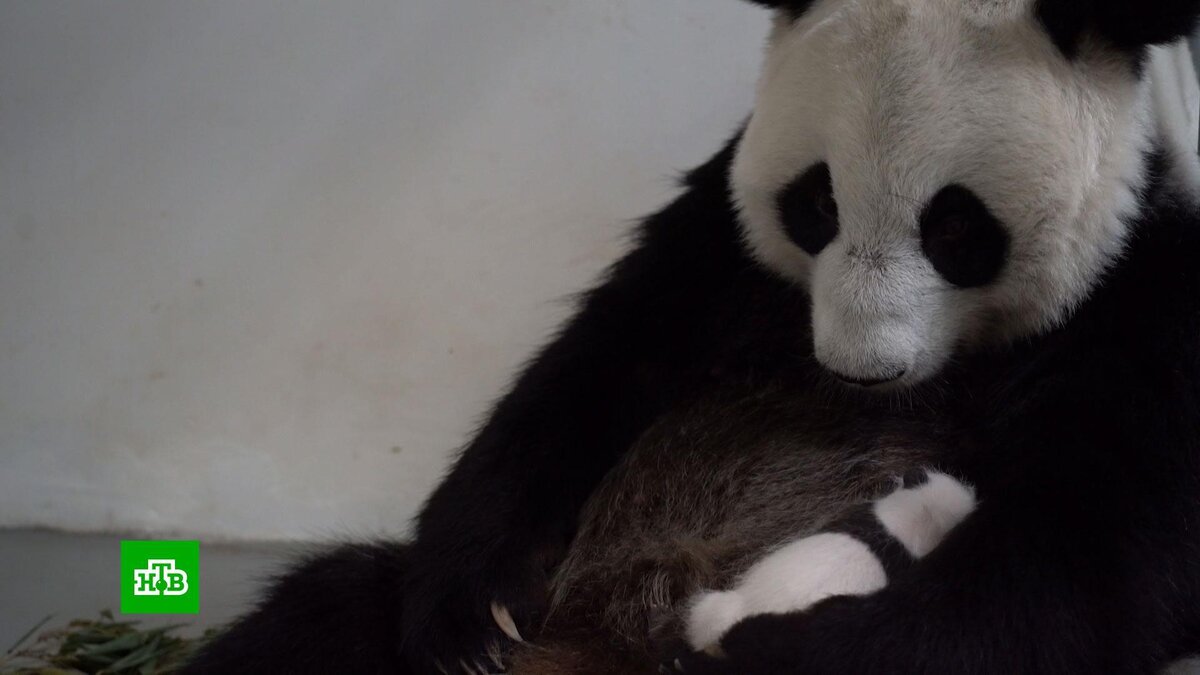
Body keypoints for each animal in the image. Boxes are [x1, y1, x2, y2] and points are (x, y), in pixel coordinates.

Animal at [180, 1, 1200, 672]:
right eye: (817, 203)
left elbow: (1095, 552)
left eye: (955, 226)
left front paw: (780, 649)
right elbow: (588, 375)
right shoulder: (718, 242)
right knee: (326, 611)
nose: (860, 370)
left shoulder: (1143, 297)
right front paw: (476, 617)